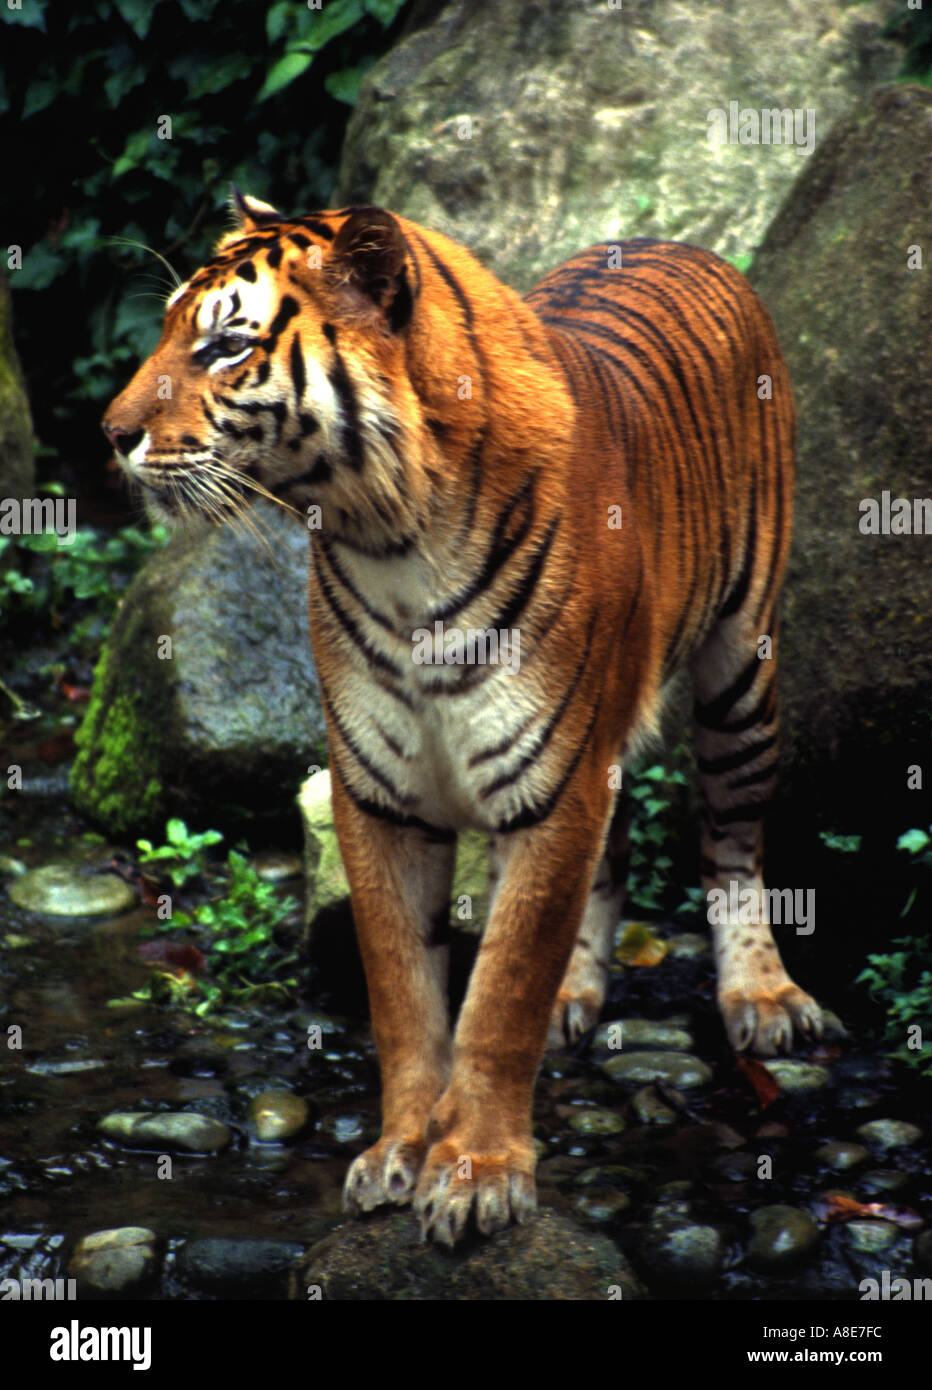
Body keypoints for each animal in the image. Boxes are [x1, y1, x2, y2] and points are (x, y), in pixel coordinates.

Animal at [102, 189, 822, 1247]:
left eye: (225, 345)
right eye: (164, 330)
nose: (110, 433)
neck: (388, 539)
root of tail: (672, 240)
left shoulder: (555, 786)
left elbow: (501, 995)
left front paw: (478, 1173)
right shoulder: (379, 796)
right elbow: (407, 995)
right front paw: (400, 1153)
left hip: (741, 667)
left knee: (732, 841)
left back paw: (760, 998)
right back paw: (581, 993)